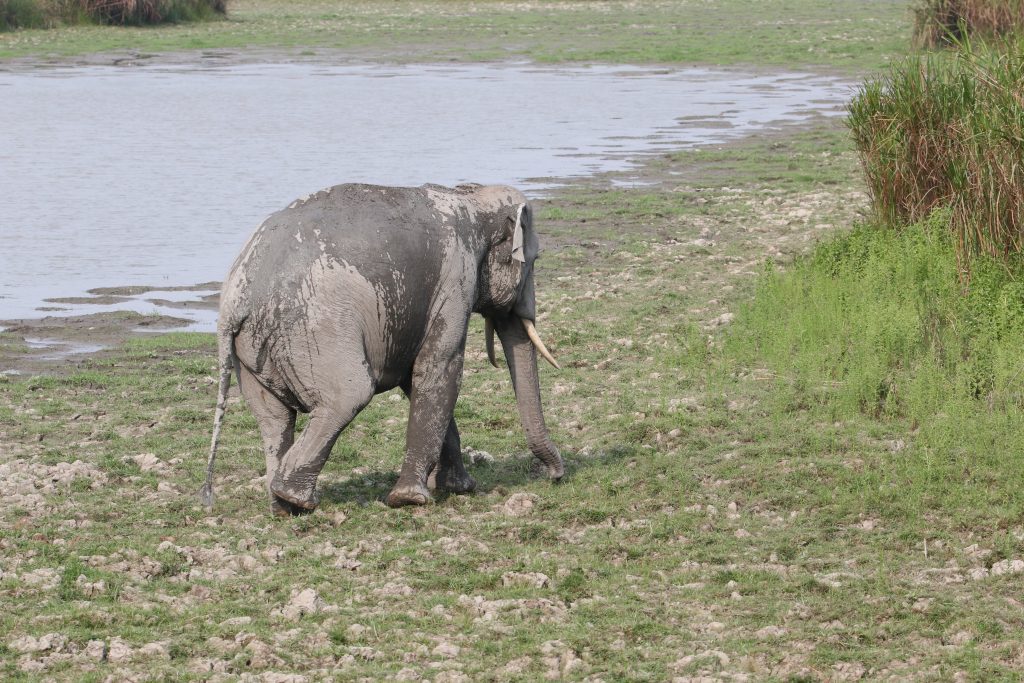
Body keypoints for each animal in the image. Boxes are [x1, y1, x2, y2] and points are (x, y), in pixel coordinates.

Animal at [200, 182, 564, 515]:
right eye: (533, 260)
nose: (556, 475)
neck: (470, 197)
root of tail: (236, 299)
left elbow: (414, 379)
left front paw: (459, 488)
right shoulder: (455, 282)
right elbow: (440, 368)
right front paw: (411, 500)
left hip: (252, 352)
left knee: (274, 418)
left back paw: (283, 508)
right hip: (315, 331)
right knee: (348, 395)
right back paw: (297, 500)